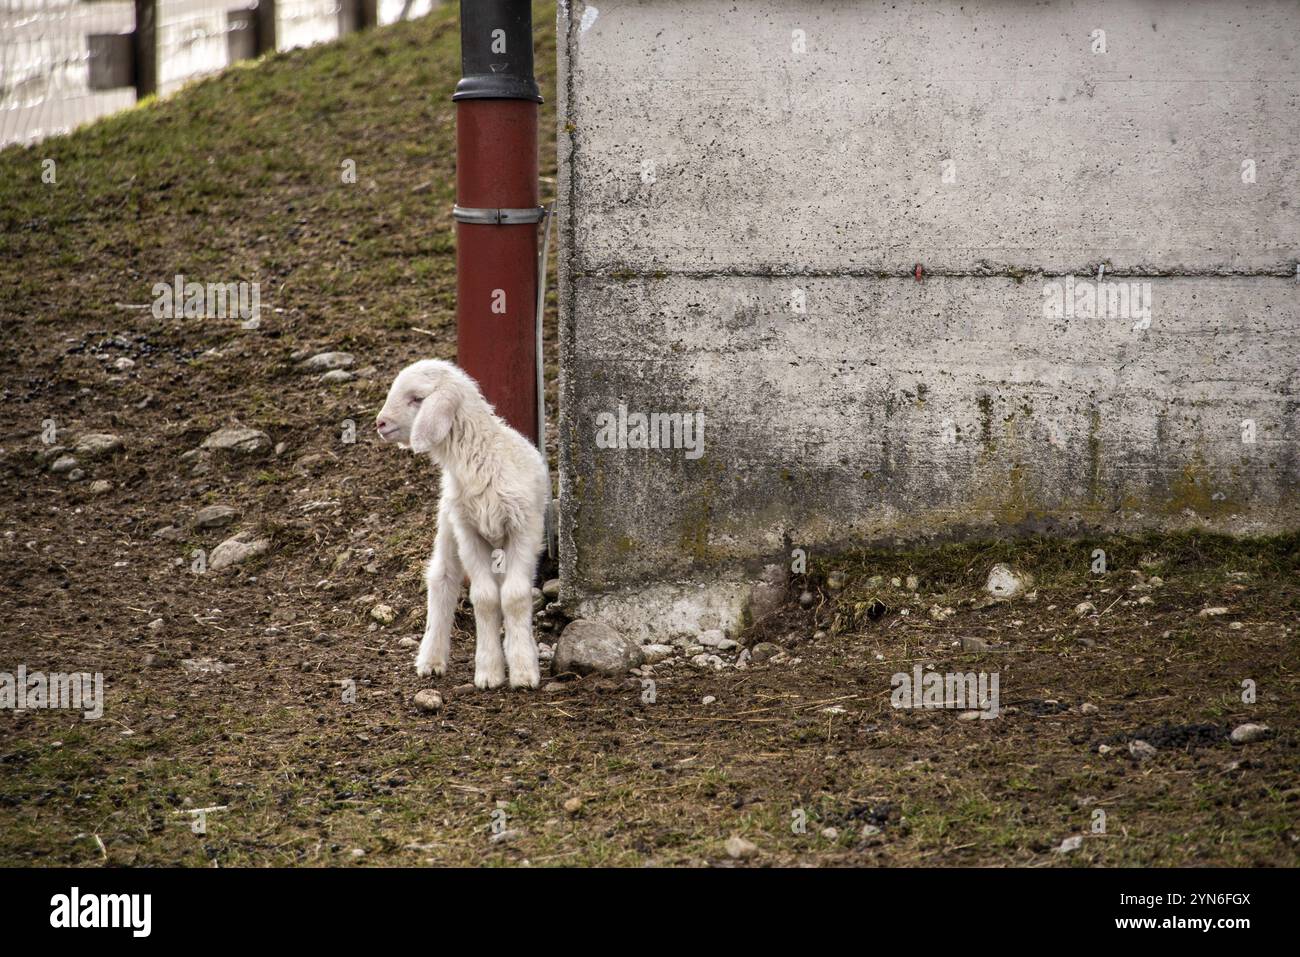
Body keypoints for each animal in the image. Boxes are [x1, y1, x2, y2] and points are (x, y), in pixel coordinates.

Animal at [375, 359, 548, 689]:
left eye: (417, 398)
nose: (381, 423)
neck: (482, 458)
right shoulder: (468, 533)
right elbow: (484, 598)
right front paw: (489, 671)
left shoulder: (524, 529)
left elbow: (515, 596)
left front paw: (523, 670)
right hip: (448, 524)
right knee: (442, 579)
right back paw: (431, 659)